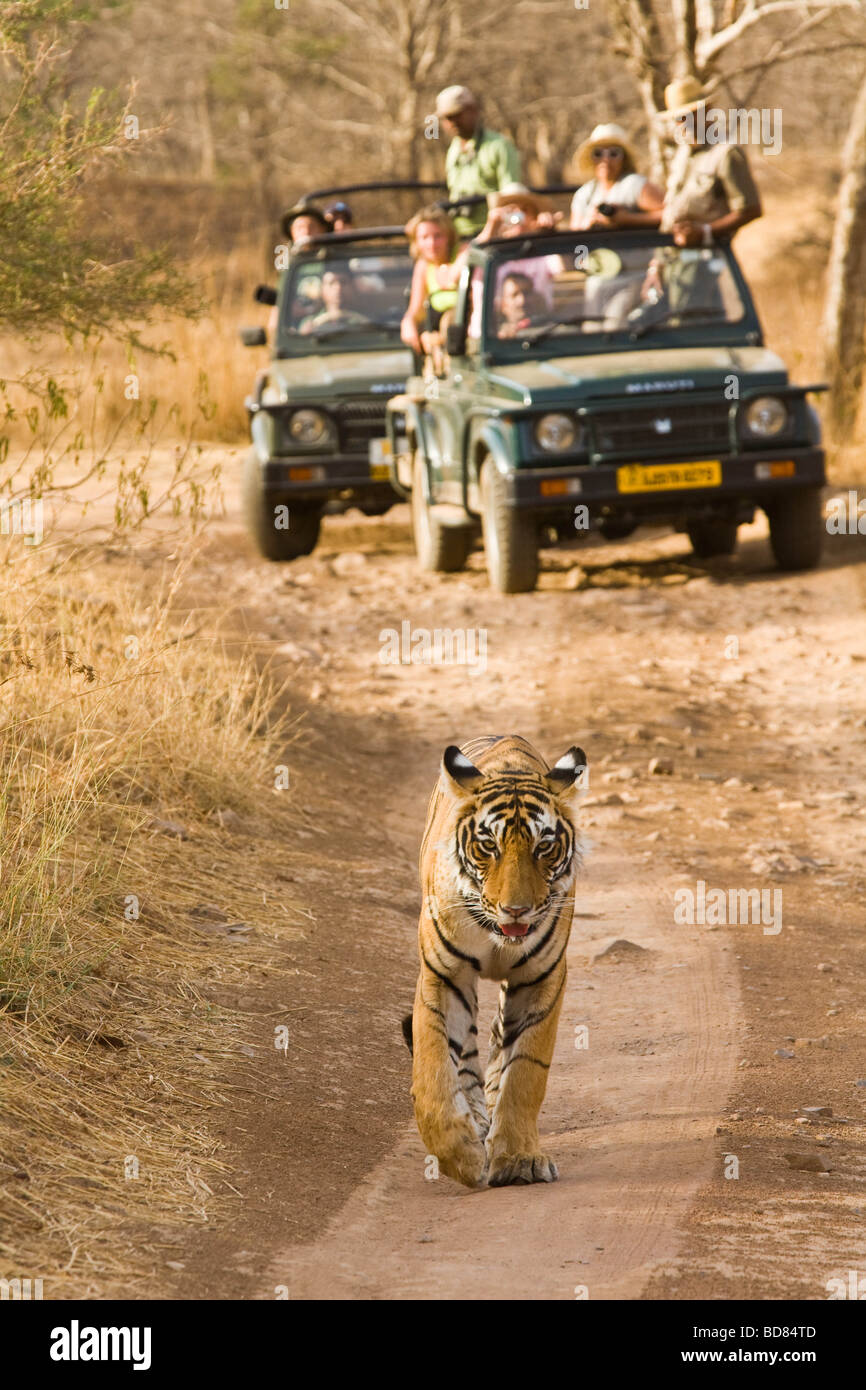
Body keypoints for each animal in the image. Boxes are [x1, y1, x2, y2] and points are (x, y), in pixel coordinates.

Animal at [404, 734, 588, 1189]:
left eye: (544, 847)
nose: (516, 910)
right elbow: (433, 1069)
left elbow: (524, 1073)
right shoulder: (443, 974)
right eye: (489, 846)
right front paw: (461, 1156)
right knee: (465, 1056)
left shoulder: (543, 978)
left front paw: (519, 1158)